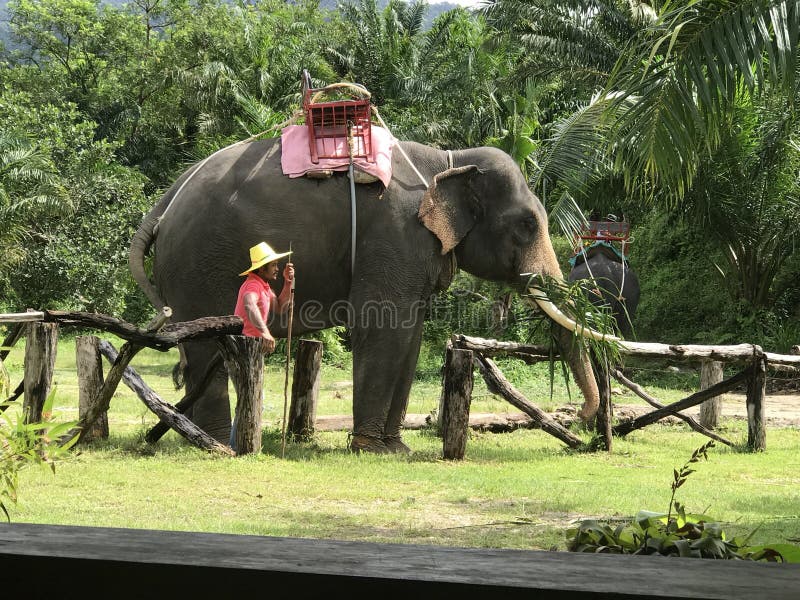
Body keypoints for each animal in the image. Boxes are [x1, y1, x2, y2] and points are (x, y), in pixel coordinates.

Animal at [129, 139, 601, 453]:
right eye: (527, 224)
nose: (577, 416)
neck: (451, 159)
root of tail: (164, 203)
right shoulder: (396, 236)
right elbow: (385, 327)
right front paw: (373, 449)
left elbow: (411, 337)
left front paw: (396, 449)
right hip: (197, 267)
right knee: (207, 346)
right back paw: (211, 441)